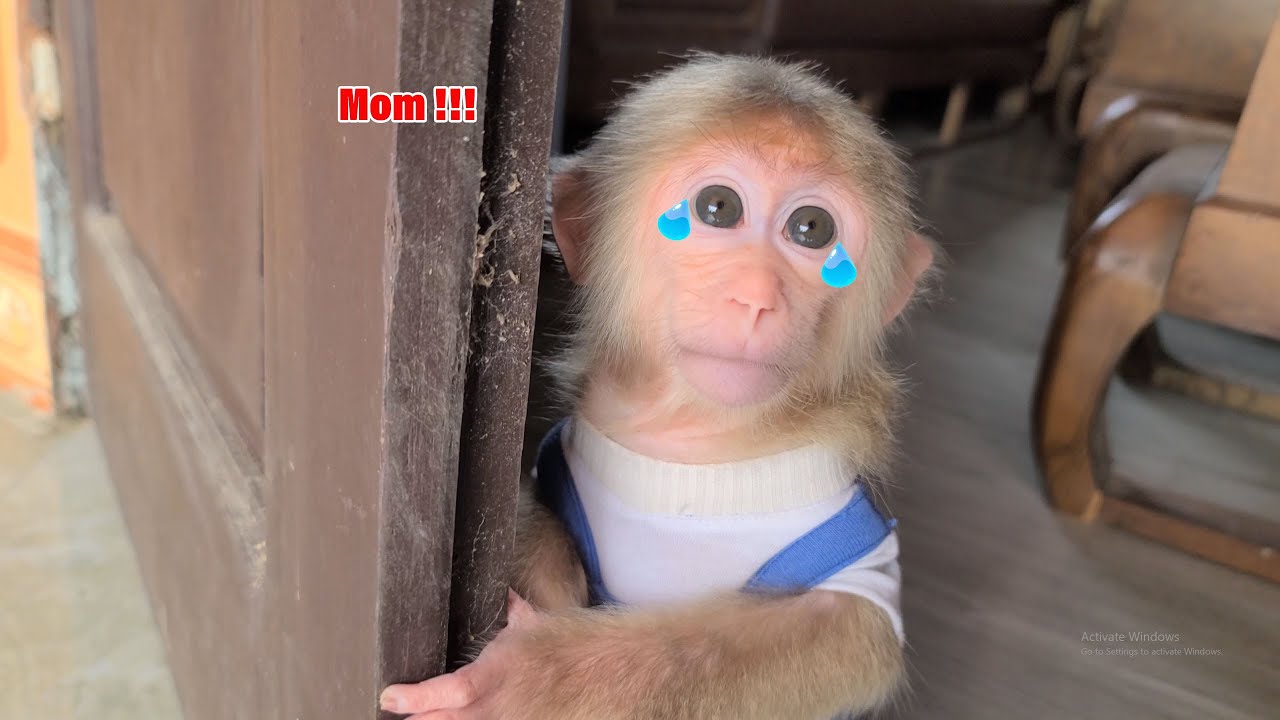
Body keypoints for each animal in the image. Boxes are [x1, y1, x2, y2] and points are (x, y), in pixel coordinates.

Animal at [381, 53, 936, 720]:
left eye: (812, 228)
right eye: (718, 208)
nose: (756, 296)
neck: (694, 455)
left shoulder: (855, 551)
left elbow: (853, 629)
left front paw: (529, 678)